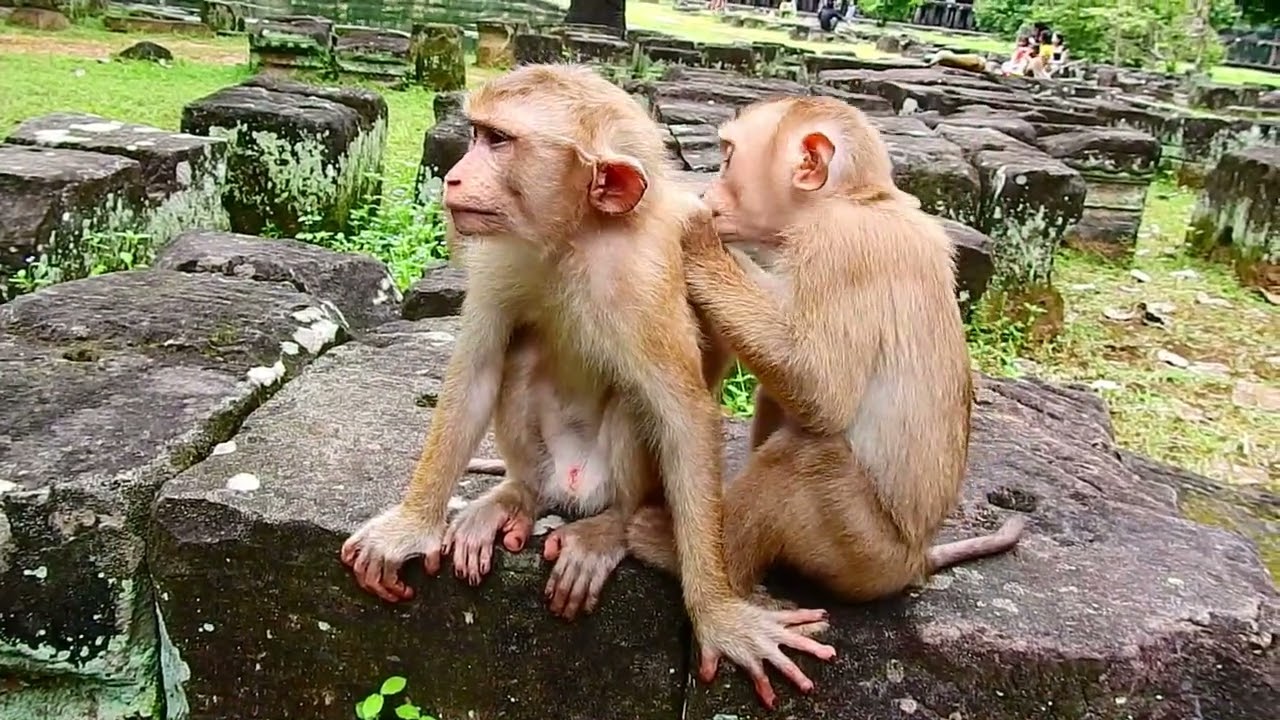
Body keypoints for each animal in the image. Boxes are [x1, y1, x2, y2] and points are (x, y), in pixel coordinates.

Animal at [338, 65, 835, 707]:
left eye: (499, 141)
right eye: (475, 134)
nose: (453, 175)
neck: (577, 236)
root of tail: (574, 488)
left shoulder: (643, 280)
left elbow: (683, 417)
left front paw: (718, 614)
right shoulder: (501, 255)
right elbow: (476, 371)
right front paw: (410, 526)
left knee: (633, 401)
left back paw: (611, 526)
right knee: (522, 355)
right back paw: (517, 497)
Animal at [625, 96, 1028, 688]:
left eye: (728, 158)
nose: (711, 192)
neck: (858, 199)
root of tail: (915, 561)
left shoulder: (837, 245)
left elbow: (820, 389)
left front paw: (695, 236)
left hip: (861, 551)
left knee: (806, 455)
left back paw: (686, 559)